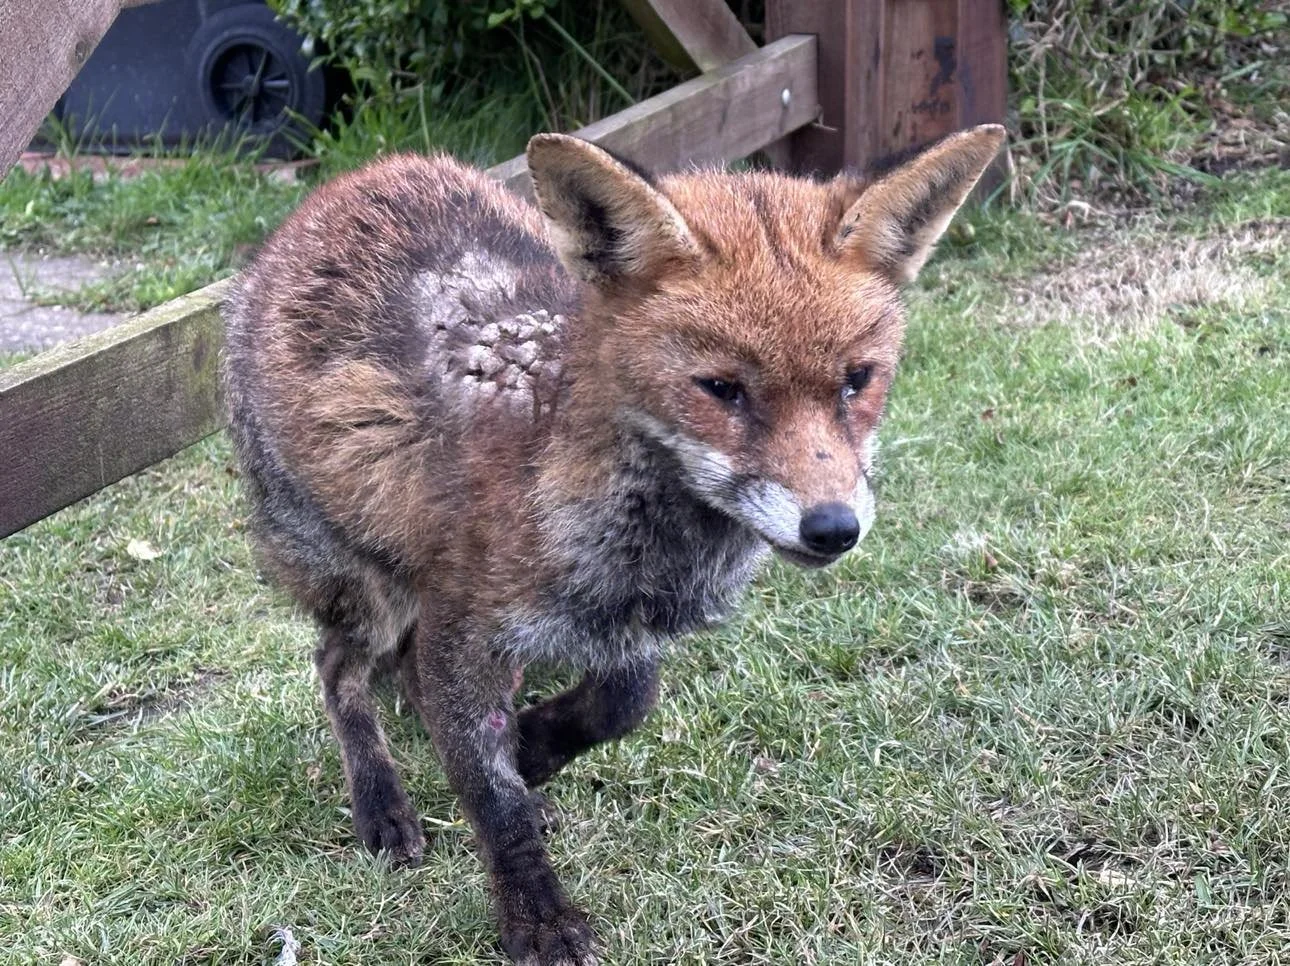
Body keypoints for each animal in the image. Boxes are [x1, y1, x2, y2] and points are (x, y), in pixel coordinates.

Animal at [221, 124, 1004, 964]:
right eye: (721, 389)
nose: (832, 527)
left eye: (858, 380)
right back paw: (381, 804)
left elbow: (626, 700)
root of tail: (356, 177)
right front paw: (535, 914)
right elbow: (494, 801)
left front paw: (532, 749)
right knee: (338, 668)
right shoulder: (464, 624)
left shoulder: (616, 626)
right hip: (367, 585)